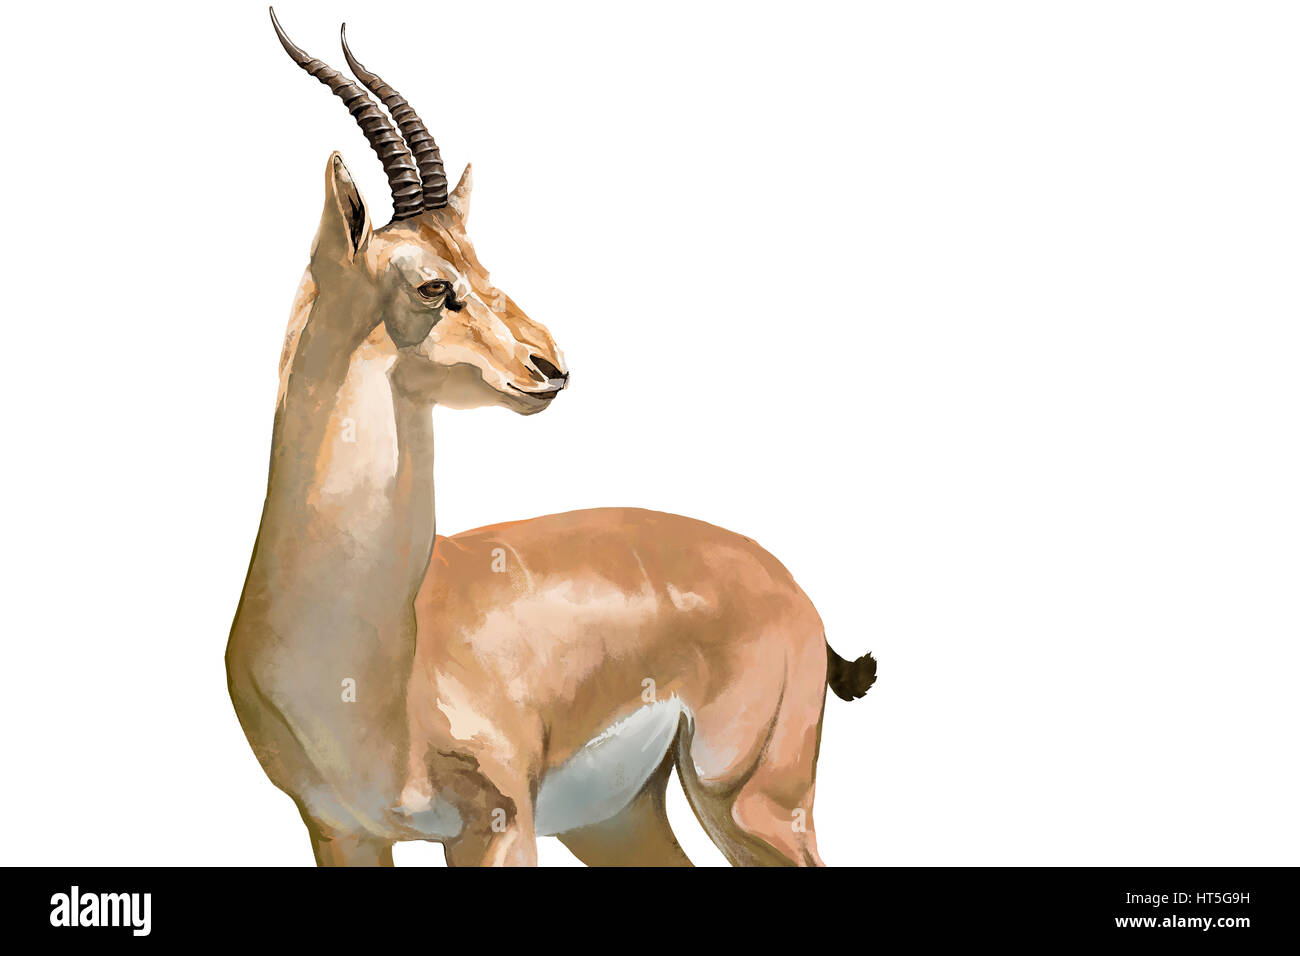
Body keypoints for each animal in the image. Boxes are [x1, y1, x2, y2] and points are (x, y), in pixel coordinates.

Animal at [228, 9, 877, 868]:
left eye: (479, 262)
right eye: (434, 284)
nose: (549, 365)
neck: (376, 653)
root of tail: (795, 591)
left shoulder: (502, 820)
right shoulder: (339, 829)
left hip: (754, 802)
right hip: (620, 818)